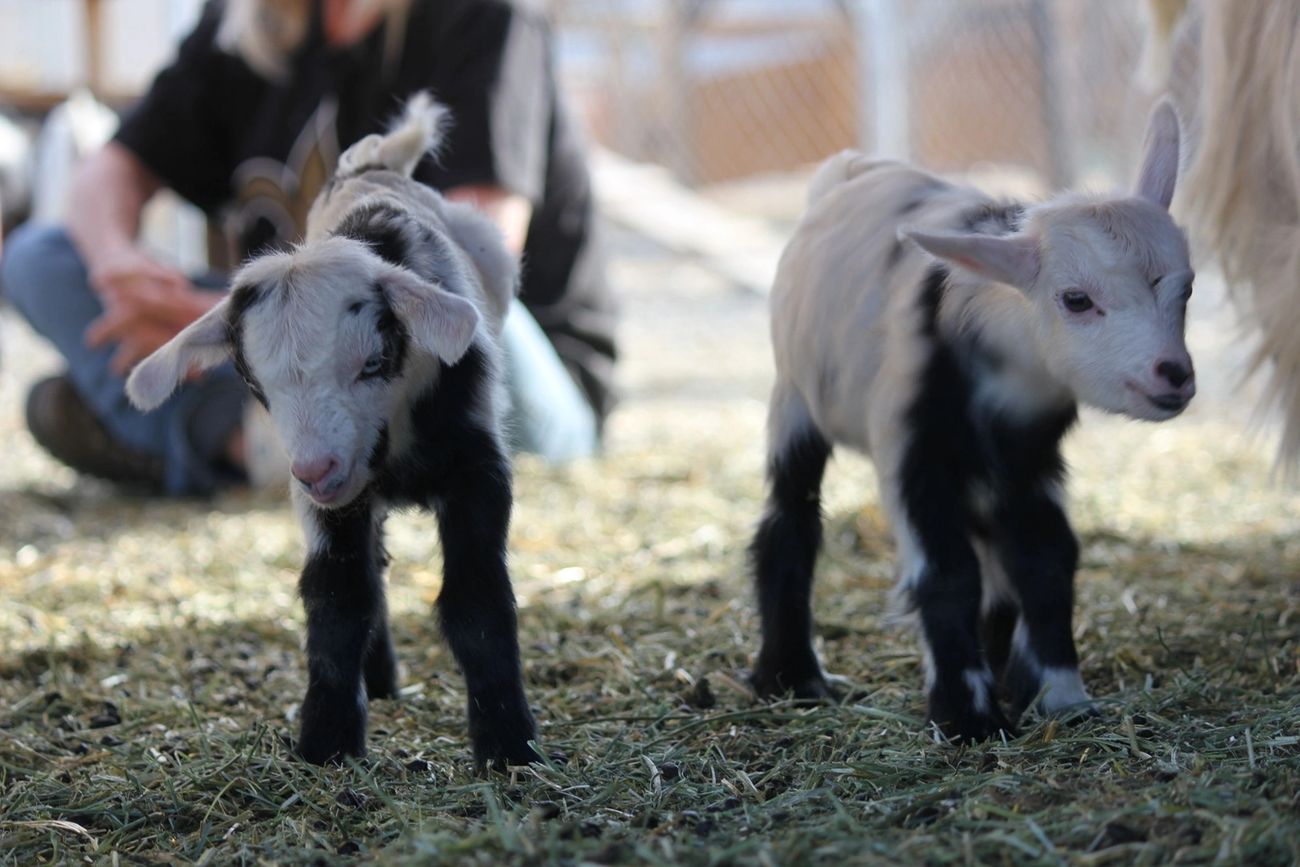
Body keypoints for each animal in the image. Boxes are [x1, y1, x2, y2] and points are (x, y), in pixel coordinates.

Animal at [126, 93, 539, 769]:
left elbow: (476, 599)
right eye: (254, 383)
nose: (316, 469)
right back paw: (380, 679)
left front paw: (509, 743)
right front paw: (327, 740)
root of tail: (374, 167)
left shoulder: (479, 469)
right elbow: (340, 597)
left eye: (372, 362)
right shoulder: (330, 504)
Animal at [749, 102, 1195, 742]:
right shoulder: (912, 447)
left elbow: (1045, 555)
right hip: (794, 393)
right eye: (1076, 299)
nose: (1174, 375)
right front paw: (969, 717)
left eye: (1188, 289)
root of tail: (846, 171)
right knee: (791, 516)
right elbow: (947, 572)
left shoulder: (1029, 452)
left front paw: (1060, 695)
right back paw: (795, 679)